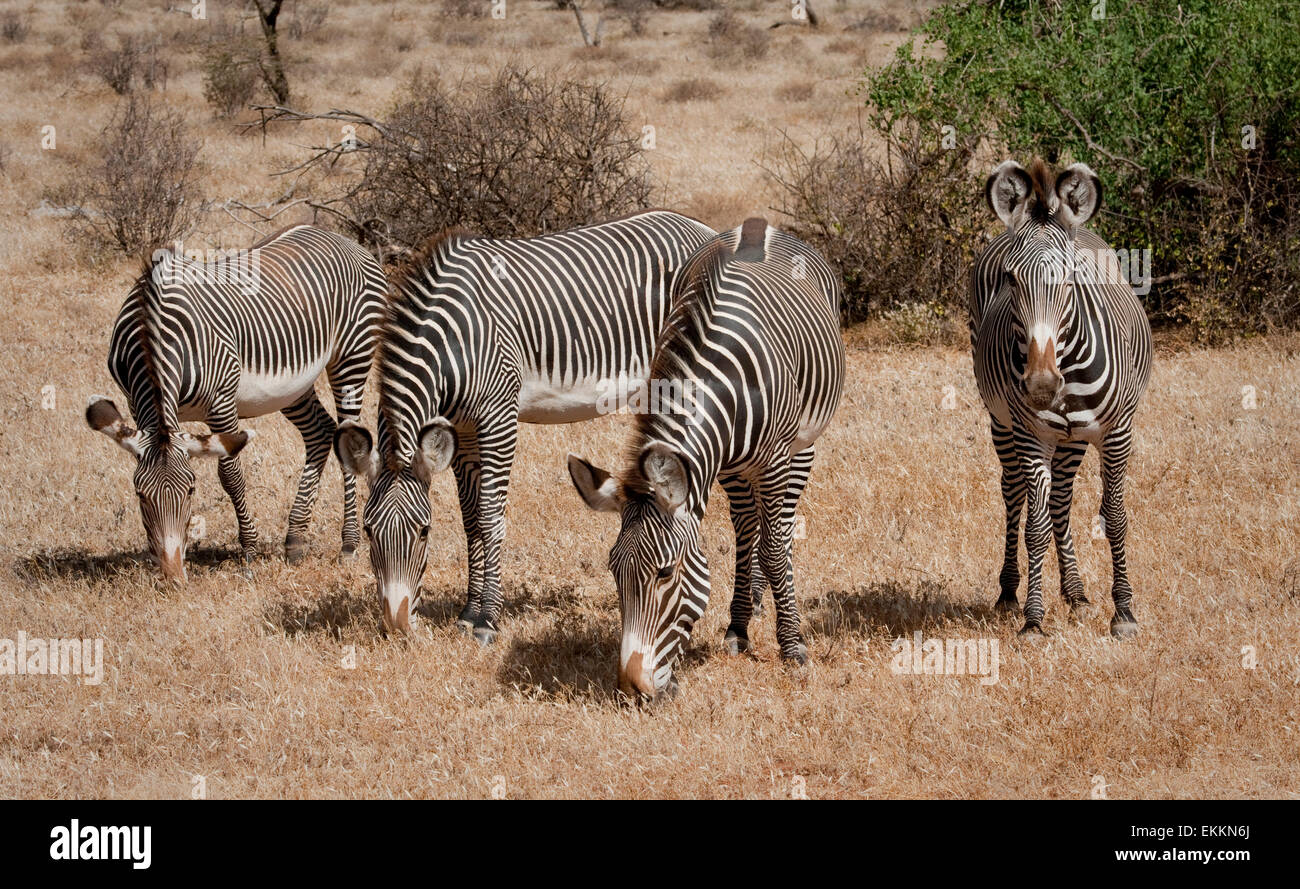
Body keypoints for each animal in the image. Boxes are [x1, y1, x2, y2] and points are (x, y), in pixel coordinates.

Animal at [86, 224, 388, 581]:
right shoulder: (134, 403)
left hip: (352, 358)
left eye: (191, 490)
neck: (152, 326)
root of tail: (339, 237)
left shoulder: (221, 404)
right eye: (139, 494)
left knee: (347, 440)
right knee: (320, 432)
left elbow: (230, 476)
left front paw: (249, 553)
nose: (173, 576)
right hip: (292, 385)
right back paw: (295, 539)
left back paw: (349, 545)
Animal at [333, 209, 717, 640]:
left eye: (424, 530)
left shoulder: (498, 418)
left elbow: (490, 516)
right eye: (368, 531)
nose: (397, 626)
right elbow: (471, 519)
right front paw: (468, 611)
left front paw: (487, 618)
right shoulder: (461, 430)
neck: (454, 340)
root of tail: (699, 226)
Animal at [568, 218, 845, 699]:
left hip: (803, 443)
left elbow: (774, 547)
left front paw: (792, 645)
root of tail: (758, 223)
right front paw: (738, 627)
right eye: (613, 569)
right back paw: (754, 600)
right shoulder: (726, 465)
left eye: (664, 573)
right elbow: (746, 535)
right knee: (753, 524)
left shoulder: (773, 461)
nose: (633, 688)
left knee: (782, 525)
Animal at [970, 159, 1153, 638]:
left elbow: (1115, 517)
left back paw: (1076, 593)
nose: (1039, 385)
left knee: (1062, 500)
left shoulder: (1117, 433)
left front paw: (1124, 611)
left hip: (1073, 439)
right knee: (1015, 492)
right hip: (1003, 422)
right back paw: (1010, 592)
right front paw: (1033, 620)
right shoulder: (1031, 435)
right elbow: (1034, 526)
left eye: (1070, 279)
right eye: (1011, 279)